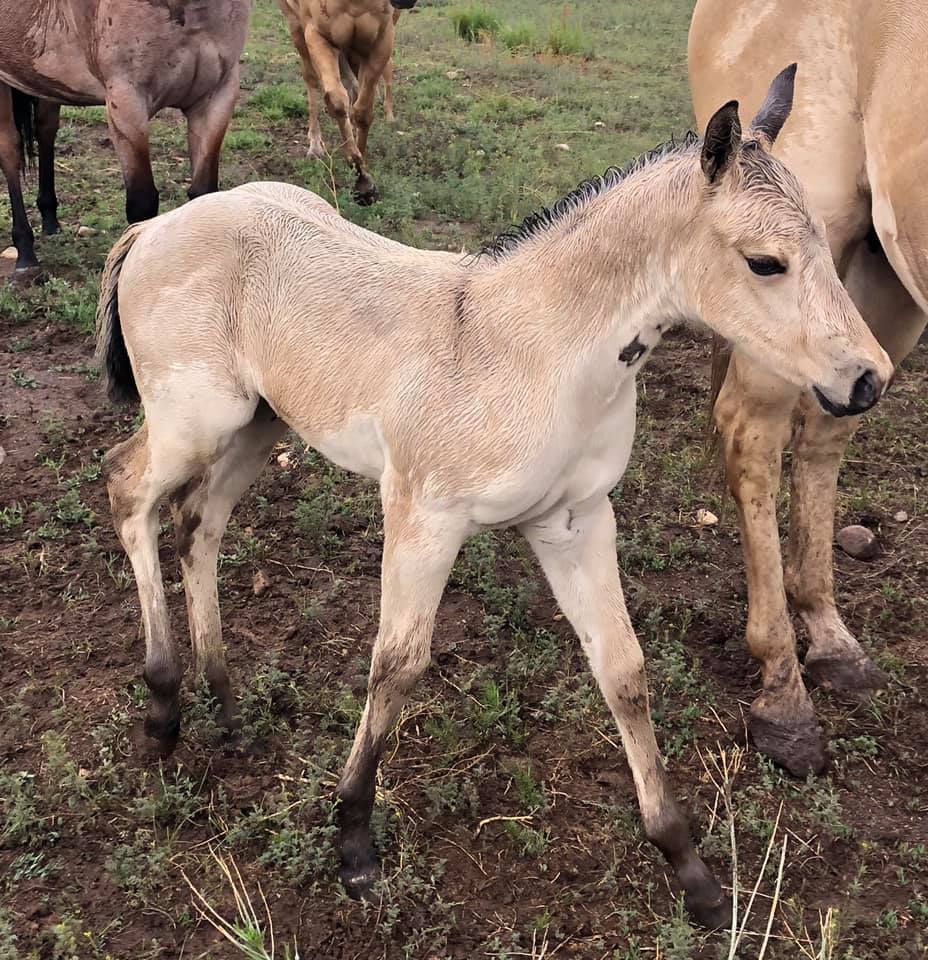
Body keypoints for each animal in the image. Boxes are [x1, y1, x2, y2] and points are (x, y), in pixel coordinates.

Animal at [0, 0, 251, 271]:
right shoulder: (127, 104)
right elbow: (142, 204)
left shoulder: (216, 96)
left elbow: (204, 194)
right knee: (10, 150)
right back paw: (25, 253)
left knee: (45, 131)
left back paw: (50, 220)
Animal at [94, 71, 890, 927]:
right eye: (765, 262)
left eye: (828, 243)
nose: (868, 379)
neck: (534, 350)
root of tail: (156, 228)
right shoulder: (422, 513)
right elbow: (397, 662)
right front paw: (354, 843)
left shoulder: (576, 521)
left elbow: (623, 669)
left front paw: (692, 871)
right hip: (195, 420)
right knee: (128, 489)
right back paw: (164, 708)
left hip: (257, 423)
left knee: (198, 523)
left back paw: (227, 707)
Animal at [277, 0, 417, 204]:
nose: (405, 2)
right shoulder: (316, 35)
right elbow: (335, 100)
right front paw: (360, 176)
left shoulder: (381, 39)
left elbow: (363, 111)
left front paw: (363, 177)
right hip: (297, 27)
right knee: (312, 80)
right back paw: (315, 145)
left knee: (358, 84)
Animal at [689, 0, 927, 777]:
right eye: (765, 261)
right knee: (755, 435)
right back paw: (785, 696)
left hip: (879, 291)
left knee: (827, 429)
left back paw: (827, 634)